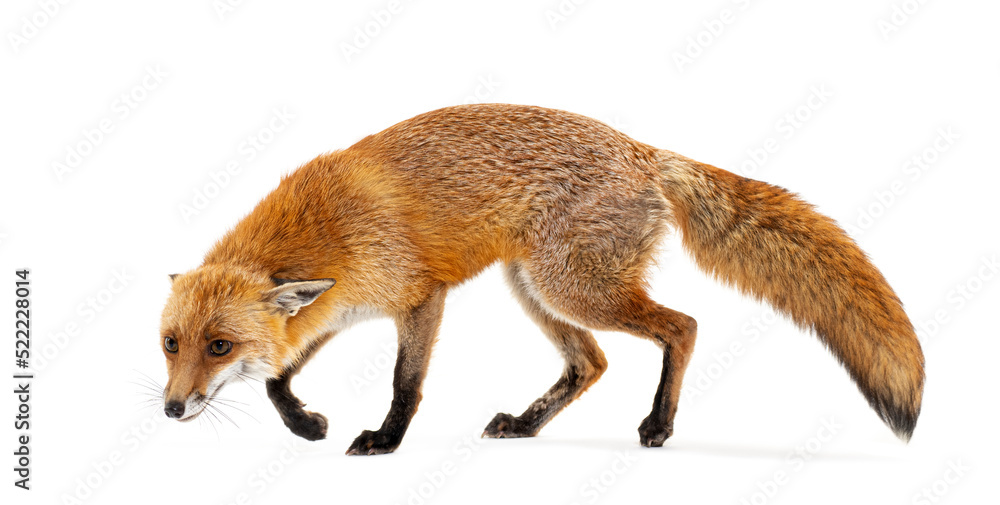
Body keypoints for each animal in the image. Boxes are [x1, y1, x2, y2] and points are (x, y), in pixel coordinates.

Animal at [159, 103, 924, 455]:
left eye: (219, 347)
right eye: (171, 344)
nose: (169, 409)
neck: (330, 231)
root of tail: (644, 150)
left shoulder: (420, 297)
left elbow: (405, 383)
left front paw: (385, 441)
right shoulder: (328, 312)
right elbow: (279, 377)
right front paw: (305, 424)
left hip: (569, 287)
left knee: (682, 326)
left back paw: (660, 423)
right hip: (532, 287)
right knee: (592, 361)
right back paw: (527, 424)